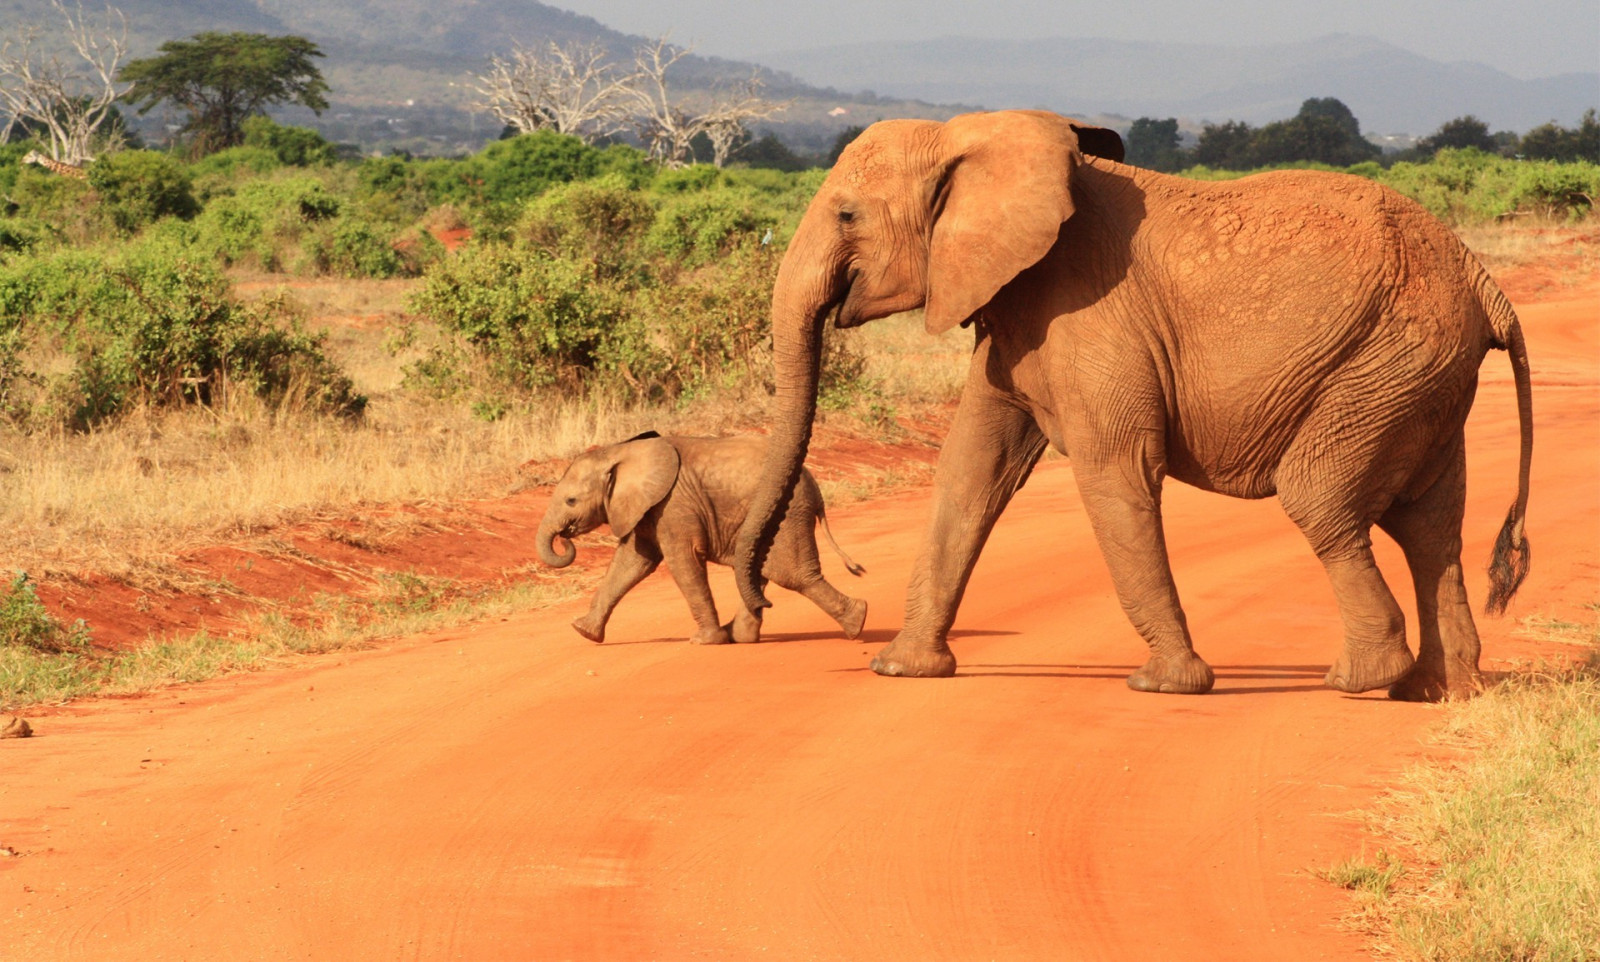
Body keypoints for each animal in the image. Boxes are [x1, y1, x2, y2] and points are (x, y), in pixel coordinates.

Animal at [539, 432, 868, 646]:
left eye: (570, 501)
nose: (565, 537)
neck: (620, 452)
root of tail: (816, 488)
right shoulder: (647, 509)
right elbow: (632, 562)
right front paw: (583, 631)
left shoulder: (673, 506)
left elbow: (682, 560)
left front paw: (704, 641)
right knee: (760, 569)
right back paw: (741, 636)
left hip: (788, 516)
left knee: (795, 575)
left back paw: (857, 621)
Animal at [732, 109, 1532, 701]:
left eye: (846, 215)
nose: (755, 617)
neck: (971, 136)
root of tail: (1481, 278)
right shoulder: (1016, 311)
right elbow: (971, 472)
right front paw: (903, 670)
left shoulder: (1087, 311)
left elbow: (1115, 471)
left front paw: (1163, 685)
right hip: (1418, 379)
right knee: (1429, 524)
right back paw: (1437, 690)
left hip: (1383, 362)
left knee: (1321, 497)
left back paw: (1362, 679)